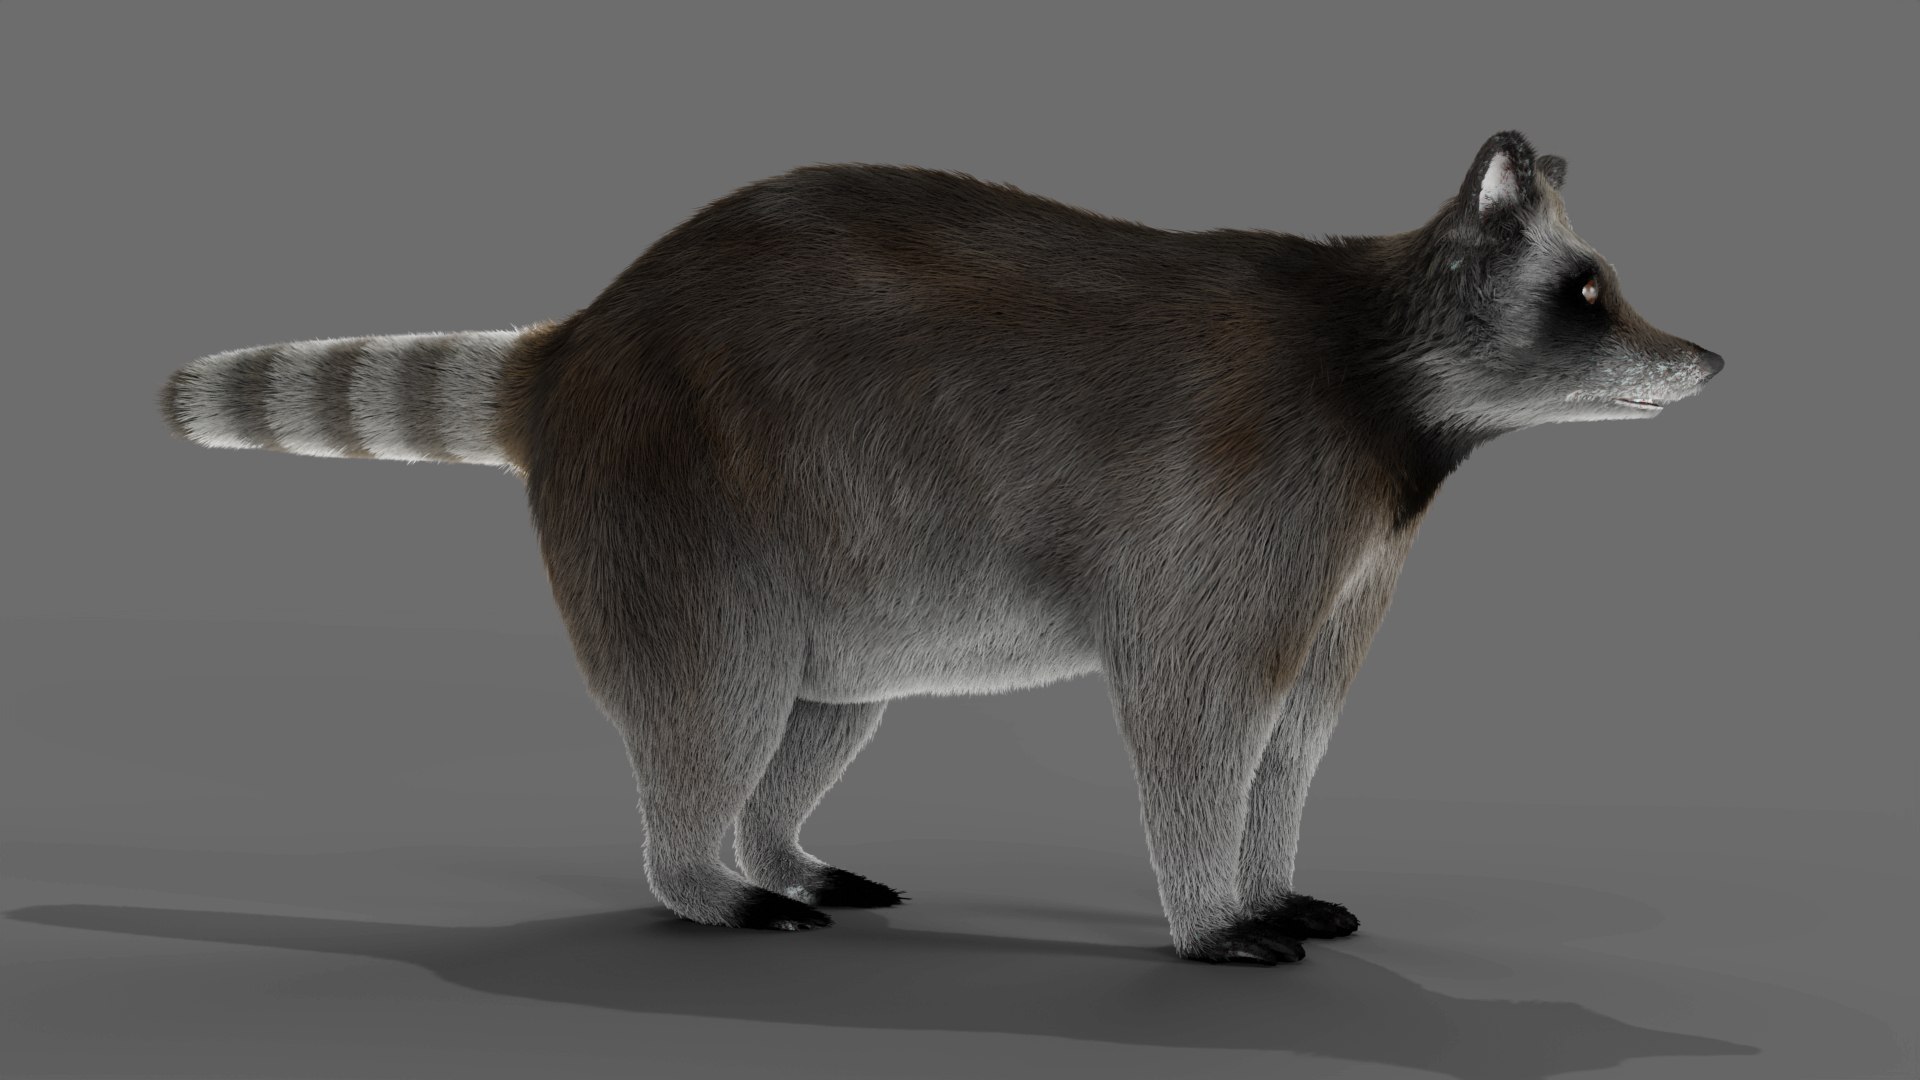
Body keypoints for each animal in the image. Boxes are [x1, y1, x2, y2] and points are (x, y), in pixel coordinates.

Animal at [159, 131, 1722, 964]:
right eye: (1587, 295)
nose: (1707, 360)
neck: (1389, 382)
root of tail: (583, 337)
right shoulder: (1246, 503)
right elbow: (1201, 714)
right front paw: (1211, 907)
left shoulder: (1352, 560)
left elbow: (1296, 739)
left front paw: (1270, 866)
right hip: (683, 508)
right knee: (709, 703)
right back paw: (707, 876)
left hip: (835, 571)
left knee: (810, 715)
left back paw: (780, 845)